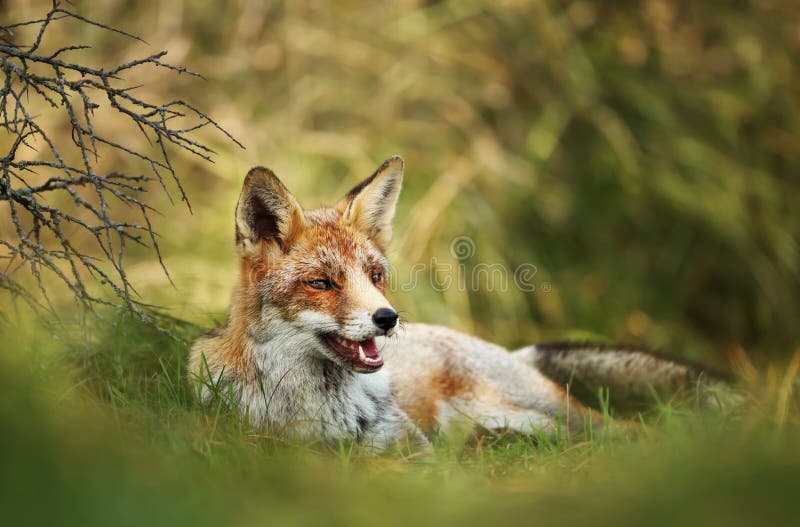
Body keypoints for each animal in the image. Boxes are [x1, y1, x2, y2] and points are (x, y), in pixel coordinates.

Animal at [189, 156, 729, 451]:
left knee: (629, 432)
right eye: (321, 282)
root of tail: (505, 351)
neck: (312, 408)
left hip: (556, 416)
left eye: (376, 276)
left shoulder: (412, 451)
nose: (387, 319)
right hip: (516, 424)